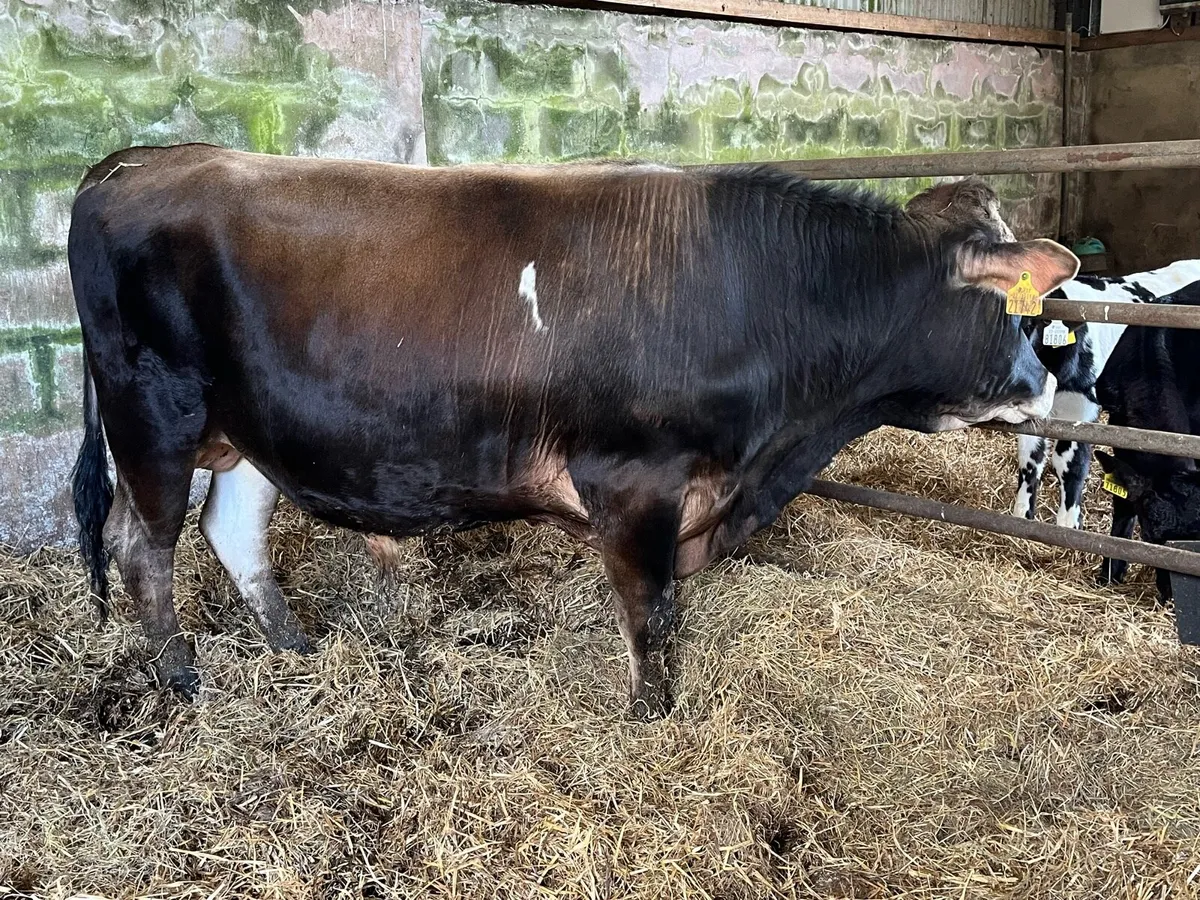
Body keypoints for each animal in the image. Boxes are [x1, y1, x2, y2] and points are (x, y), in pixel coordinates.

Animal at [68, 144, 1076, 718]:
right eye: (1005, 302)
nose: (1041, 382)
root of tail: (137, 159)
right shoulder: (635, 478)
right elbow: (652, 611)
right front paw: (651, 717)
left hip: (246, 429)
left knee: (230, 529)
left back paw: (294, 649)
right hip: (152, 409)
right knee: (142, 543)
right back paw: (182, 681)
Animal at [1007, 260, 1200, 528]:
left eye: (1027, 325)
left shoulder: (1081, 410)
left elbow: (1070, 464)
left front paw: (1068, 525)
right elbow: (1030, 458)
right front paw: (1021, 518)